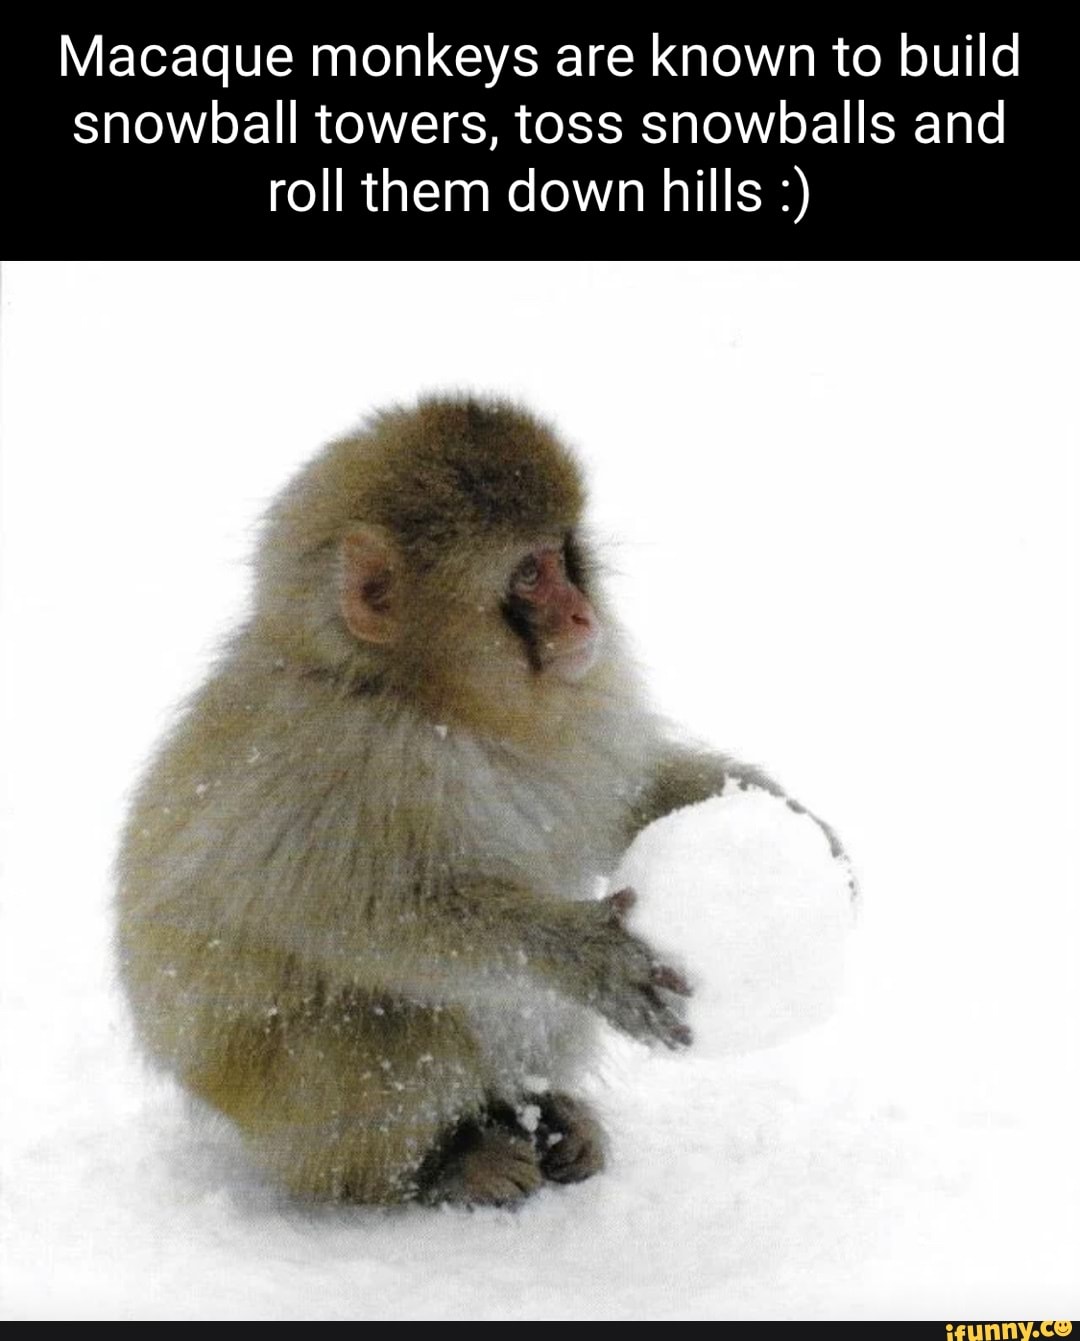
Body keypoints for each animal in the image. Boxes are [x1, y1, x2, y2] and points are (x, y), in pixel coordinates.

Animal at [115, 395, 847, 1207]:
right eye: (527, 575)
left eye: (562, 557)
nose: (583, 616)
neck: (433, 702)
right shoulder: (345, 761)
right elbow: (377, 916)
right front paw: (589, 953)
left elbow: (620, 795)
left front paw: (787, 817)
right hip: (282, 1113)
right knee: (385, 1031)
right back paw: (445, 1161)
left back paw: (540, 1110)